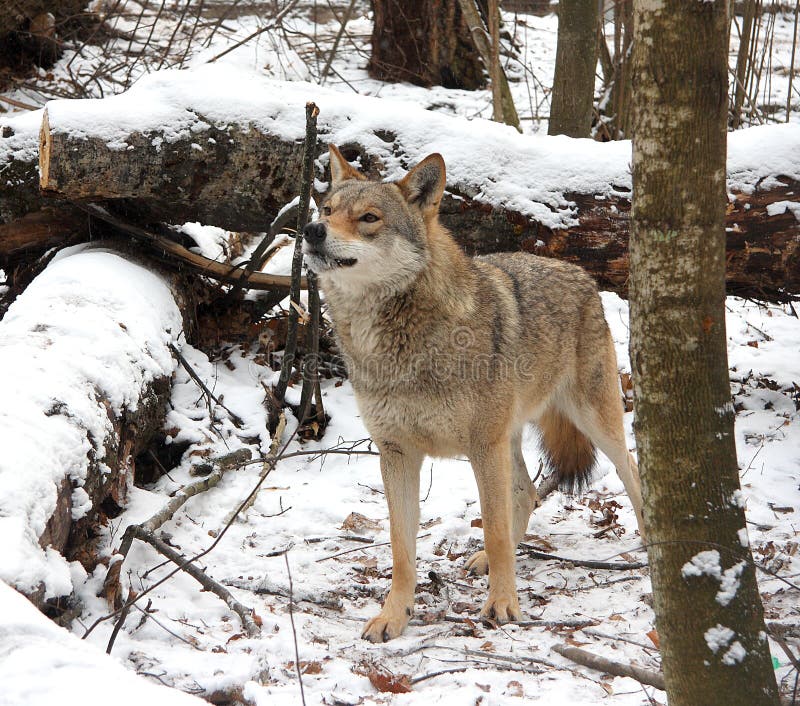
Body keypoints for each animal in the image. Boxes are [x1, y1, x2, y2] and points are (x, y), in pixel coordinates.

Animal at [302, 145, 645, 643]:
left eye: (368, 218)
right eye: (326, 210)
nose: (312, 231)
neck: (398, 343)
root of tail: (580, 272)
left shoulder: (483, 445)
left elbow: (495, 531)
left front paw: (503, 605)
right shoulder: (396, 453)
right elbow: (402, 549)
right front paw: (394, 616)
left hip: (591, 423)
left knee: (630, 471)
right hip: (511, 438)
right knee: (527, 492)